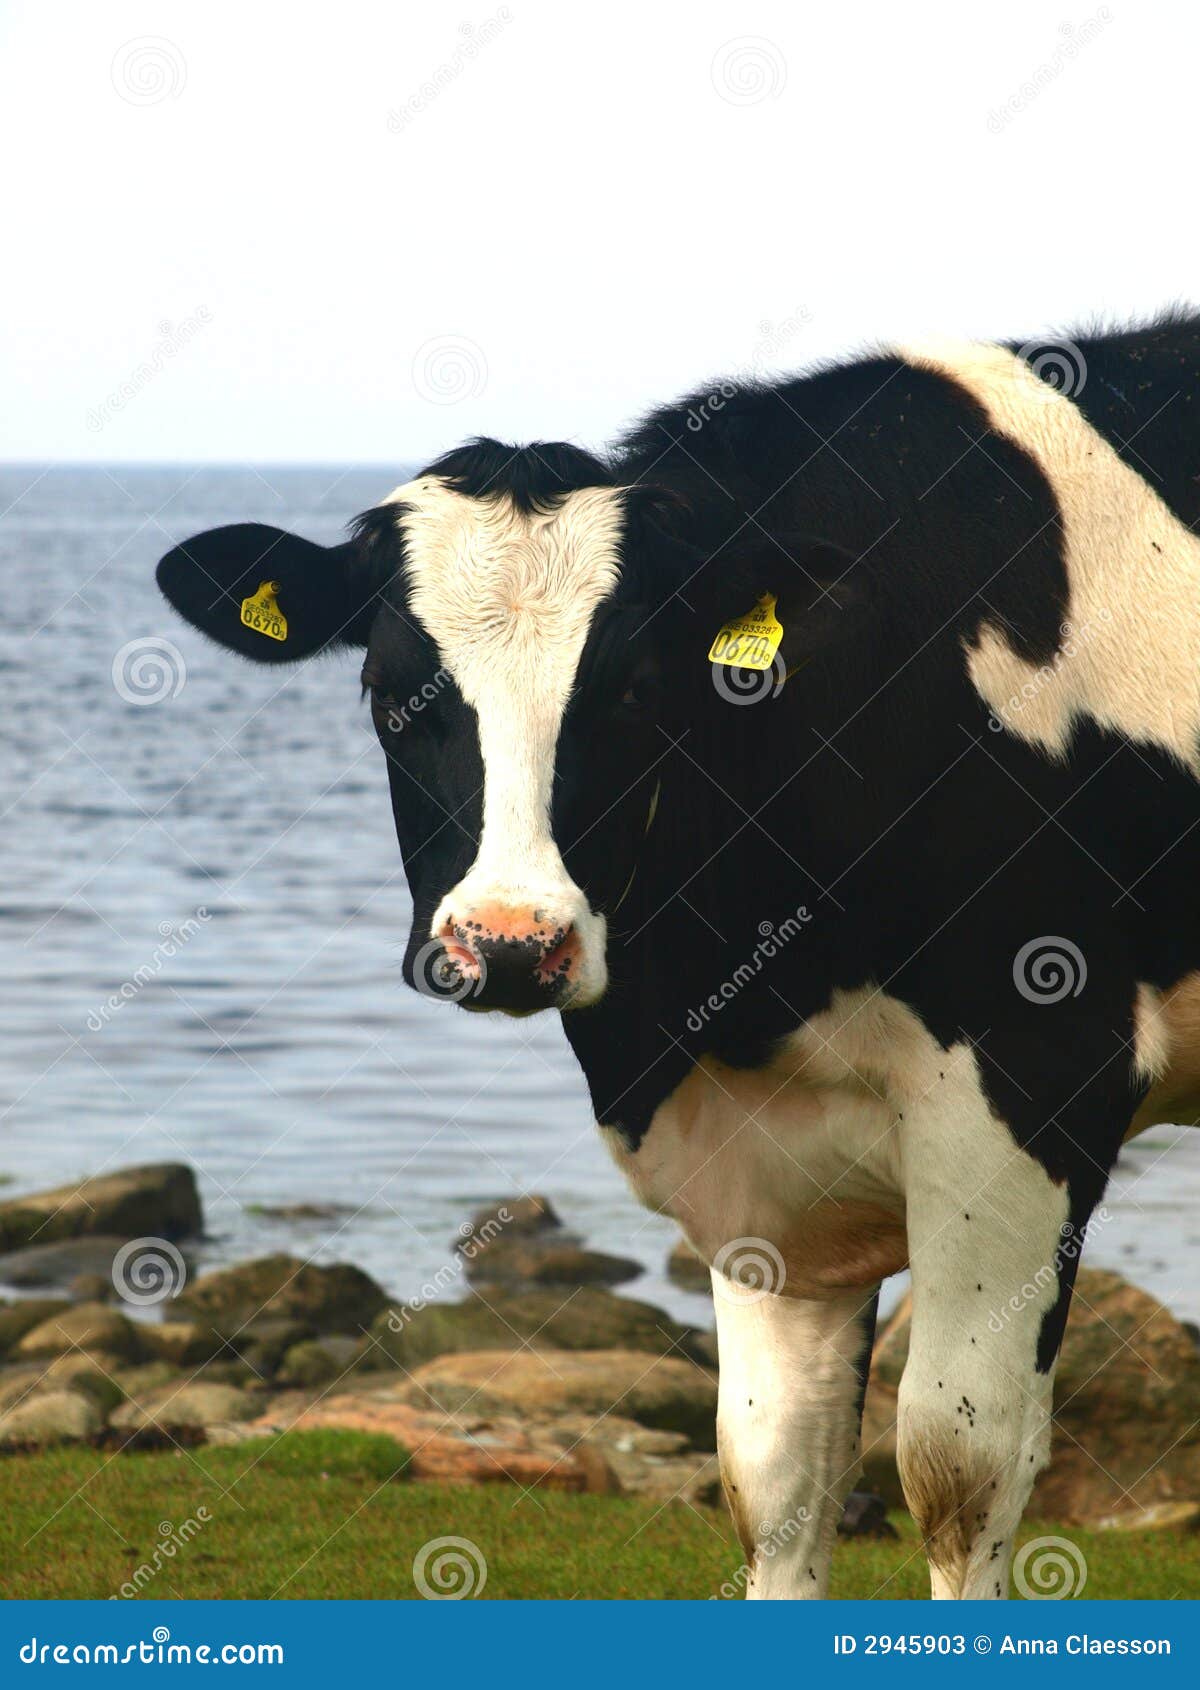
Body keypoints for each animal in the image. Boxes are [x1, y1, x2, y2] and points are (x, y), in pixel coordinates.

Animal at [156, 310, 1200, 1599]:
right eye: (389, 687)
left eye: (636, 689)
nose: (510, 944)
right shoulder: (758, 1167)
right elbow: (775, 1485)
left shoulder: (1036, 1070)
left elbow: (958, 1471)